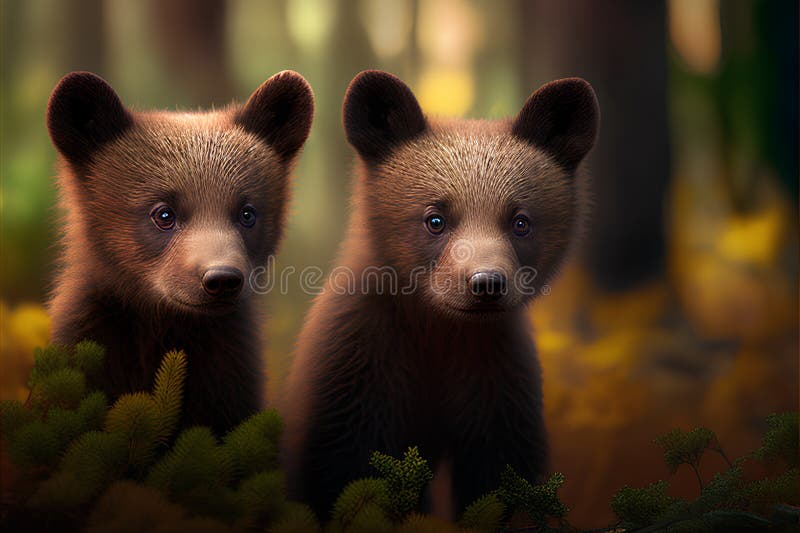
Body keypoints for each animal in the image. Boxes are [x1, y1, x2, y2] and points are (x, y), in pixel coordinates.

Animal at [281, 70, 598, 519]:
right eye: (435, 218)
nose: (485, 283)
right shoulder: (360, 373)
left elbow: (501, 477)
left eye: (520, 221)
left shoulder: (496, 380)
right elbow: (345, 471)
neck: (439, 331)